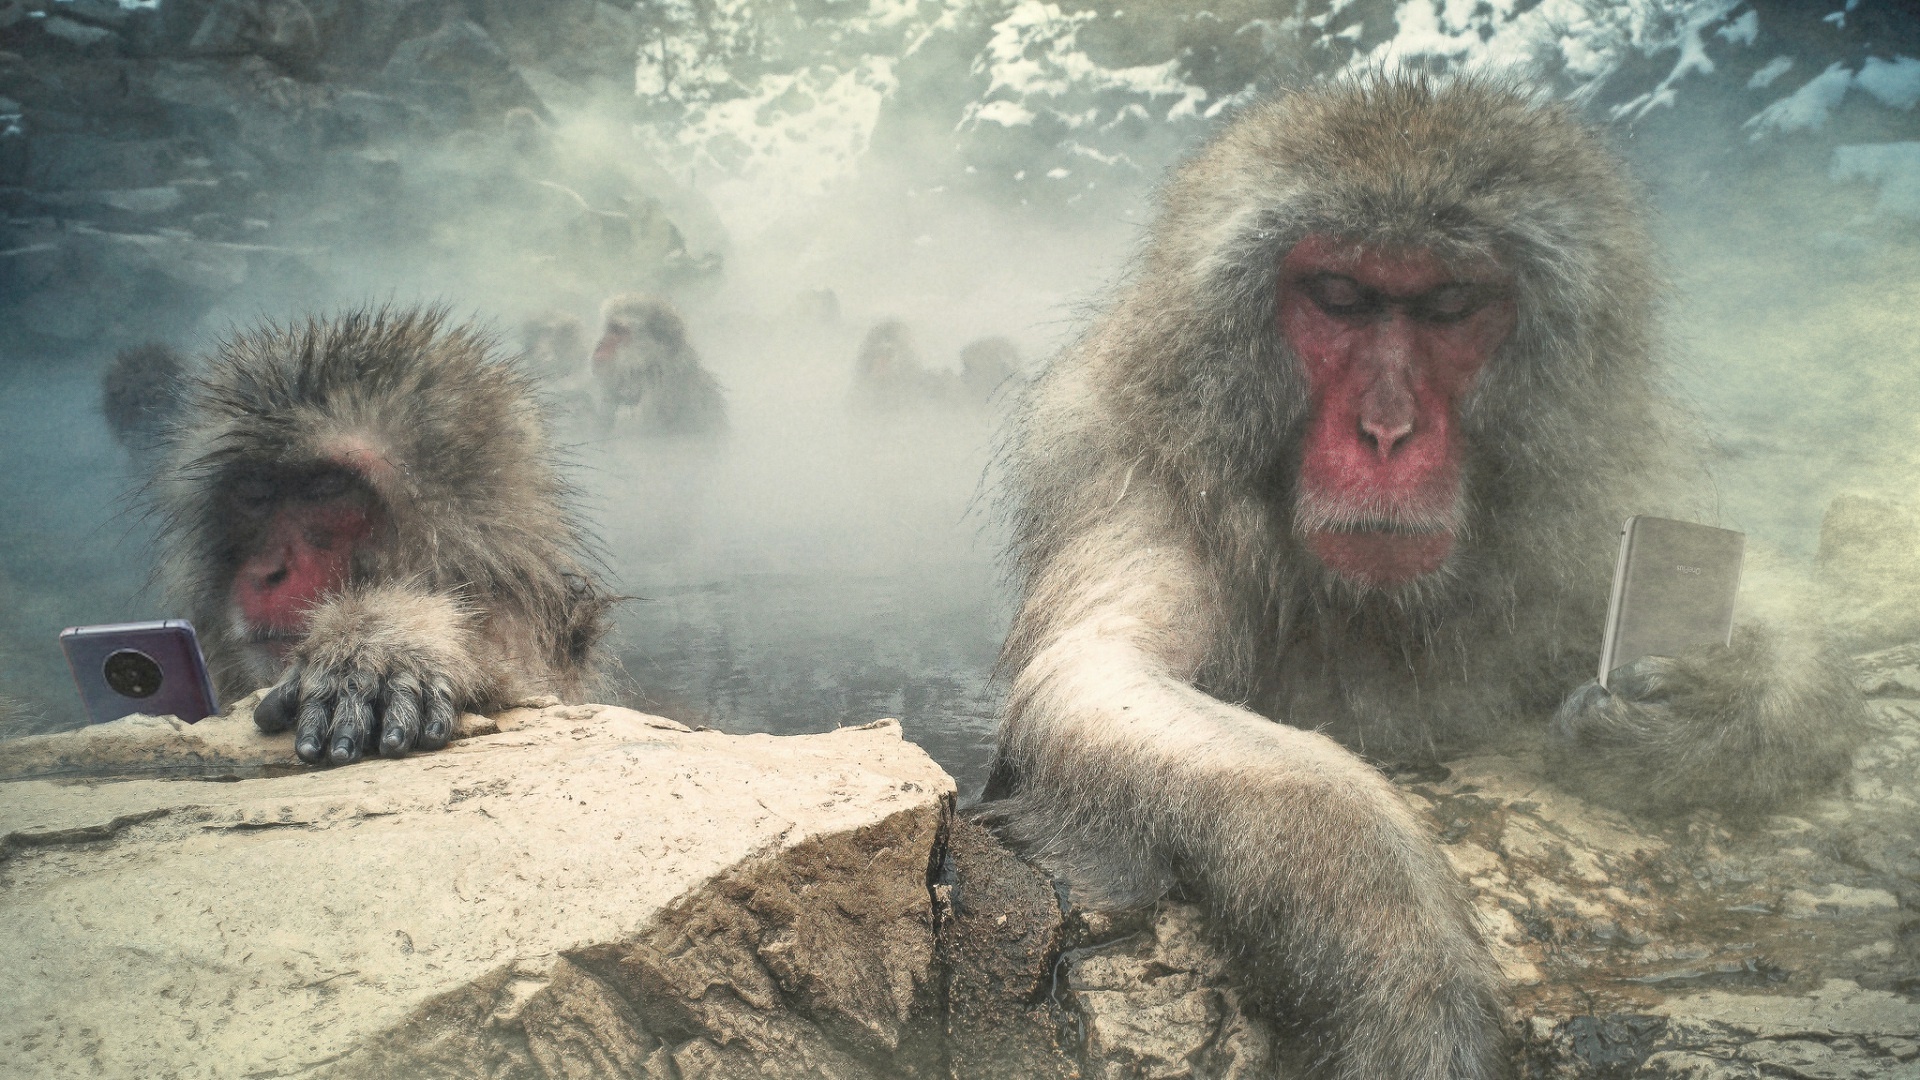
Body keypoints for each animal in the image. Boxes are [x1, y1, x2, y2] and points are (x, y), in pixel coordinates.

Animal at [981, 74, 1866, 1079]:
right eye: (1338, 296)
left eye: (1448, 305)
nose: (1387, 431)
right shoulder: (1138, 483)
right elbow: (1096, 677)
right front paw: (1388, 935)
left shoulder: (1591, 490)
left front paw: (1707, 710)